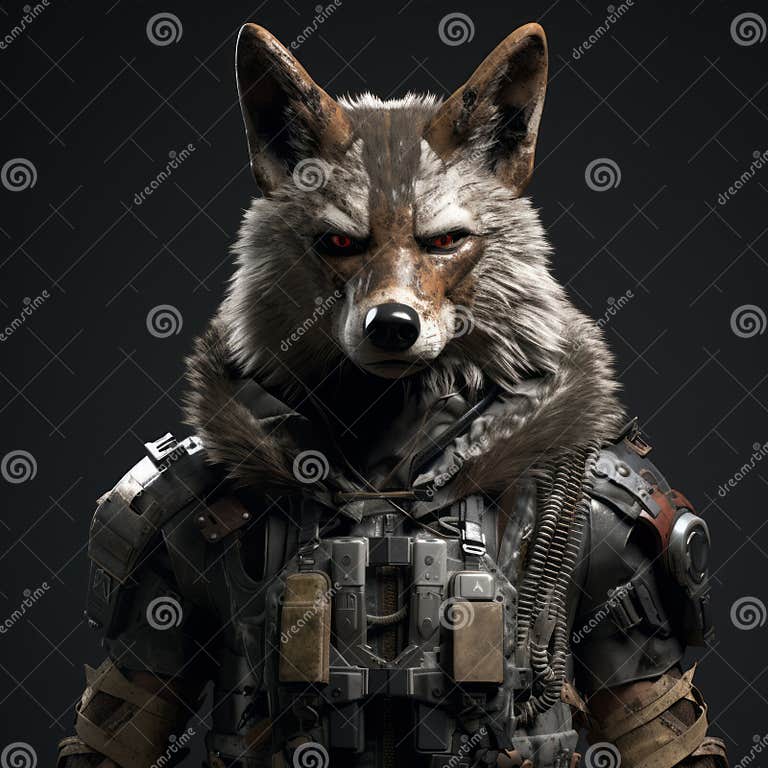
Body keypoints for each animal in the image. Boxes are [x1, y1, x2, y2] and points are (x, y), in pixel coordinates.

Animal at [59, 22, 727, 768]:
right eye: (339, 241)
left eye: (446, 241)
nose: (393, 326)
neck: (388, 451)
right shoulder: (152, 519)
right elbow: (121, 724)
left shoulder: (624, 521)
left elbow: (658, 728)